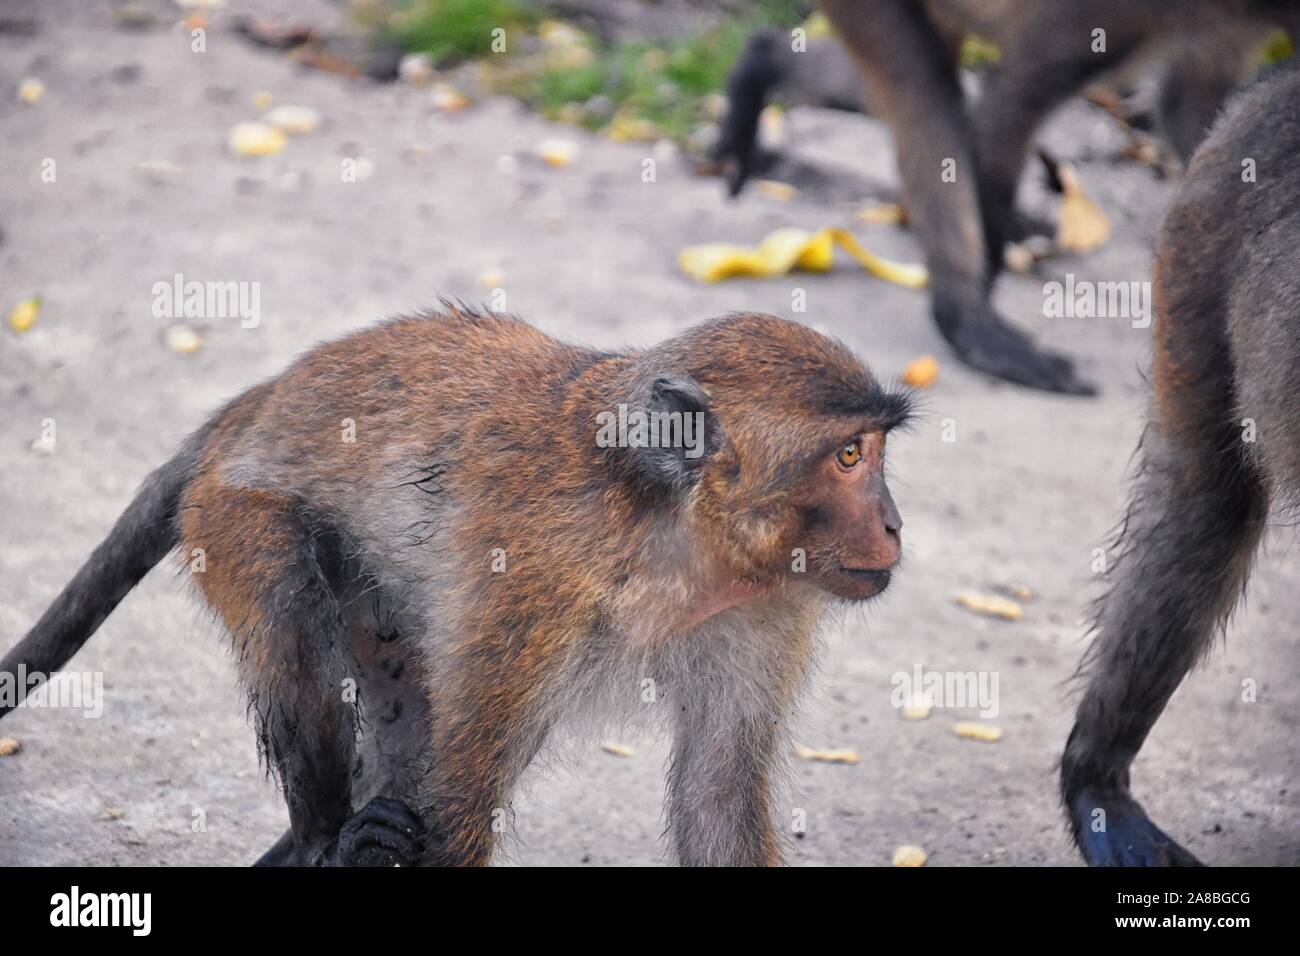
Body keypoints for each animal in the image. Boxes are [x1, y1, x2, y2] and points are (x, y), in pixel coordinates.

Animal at [1, 306, 910, 867]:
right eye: (849, 456)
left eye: (871, 448)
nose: (895, 524)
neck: (671, 529)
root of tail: (260, 399)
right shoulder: (530, 588)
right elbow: (462, 801)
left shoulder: (766, 607)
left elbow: (716, 795)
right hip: (232, 511)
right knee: (292, 614)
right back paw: (326, 838)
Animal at [714, 1, 1299, 395]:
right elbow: (1009, 105)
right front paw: (979, 302)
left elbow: (1194, 115)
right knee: (925, 87)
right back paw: (965, 316)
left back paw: (762, 63)